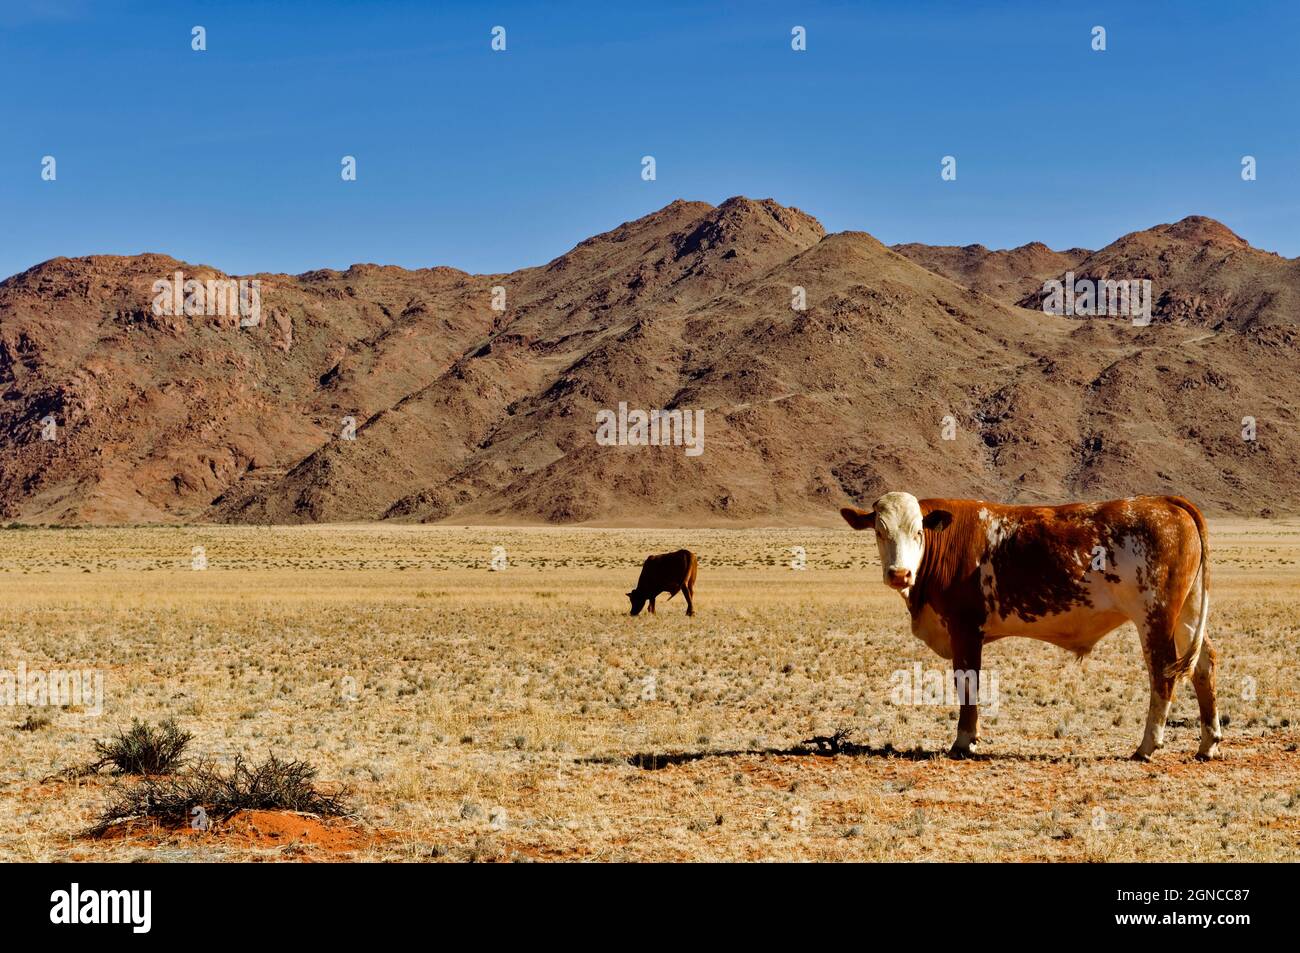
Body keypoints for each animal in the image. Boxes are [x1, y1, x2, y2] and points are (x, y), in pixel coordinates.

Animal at [841, 492, 1219, 762]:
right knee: (1203, 664)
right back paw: (1208, 744)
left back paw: (1147, 746)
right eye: (880, 531)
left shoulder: (965, 628)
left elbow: (968, 683)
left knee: (1163, 672)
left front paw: (963, 742)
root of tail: (1164, 501)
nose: (899, 574)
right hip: (1188, 611)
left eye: (918, 532)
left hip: (1155, 615)